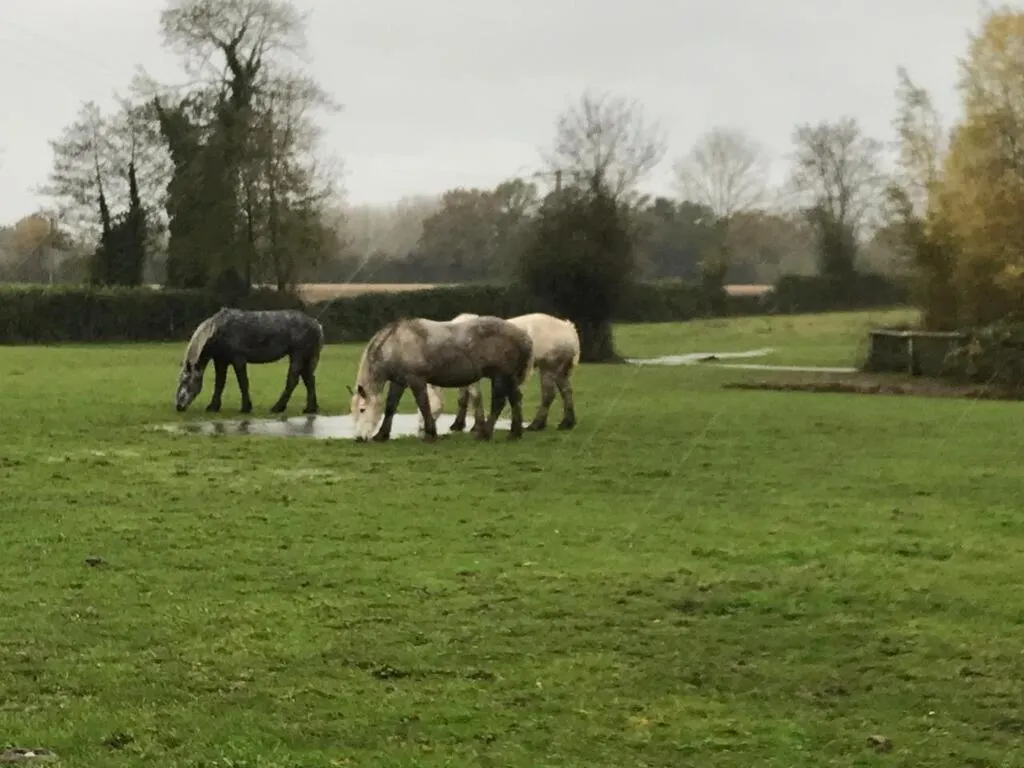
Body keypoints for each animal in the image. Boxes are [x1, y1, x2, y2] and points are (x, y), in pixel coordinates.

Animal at [174, 307, 324, 415]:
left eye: (186, 381)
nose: (179, 406)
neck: (217, 330)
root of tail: (316, 324)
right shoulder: (221, 361)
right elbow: (219, 384)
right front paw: (213, 407)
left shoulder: (238, 359)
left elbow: (243, 382)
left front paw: (245, 408)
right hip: (305, 358)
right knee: (309, 379)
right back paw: (310, 408)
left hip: (298, 355)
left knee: (293, 381)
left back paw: (277, 408)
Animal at [348, 315, 534, 443]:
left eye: (362, 409)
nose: (358, 438)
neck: (395, 344)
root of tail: (524, 337)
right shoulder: (399, 382)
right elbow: (391, 407)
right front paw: (382, 434)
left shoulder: (416, 381)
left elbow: (424, 405)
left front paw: (430, 433)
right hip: (510, 377)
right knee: (515, 400)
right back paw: (515, 433)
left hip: (500, 377)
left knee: (499, 402)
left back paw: (485, 433)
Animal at [420, 312, 580, 434]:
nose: (421, 427)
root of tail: (569, 329)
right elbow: (463, 399)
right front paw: (458, 424)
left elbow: (475, 398)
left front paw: (477, 426)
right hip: (560, 371)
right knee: (567, 392)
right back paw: (567, 423)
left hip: (548, 368)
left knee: (548, 395)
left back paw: (536, 424)